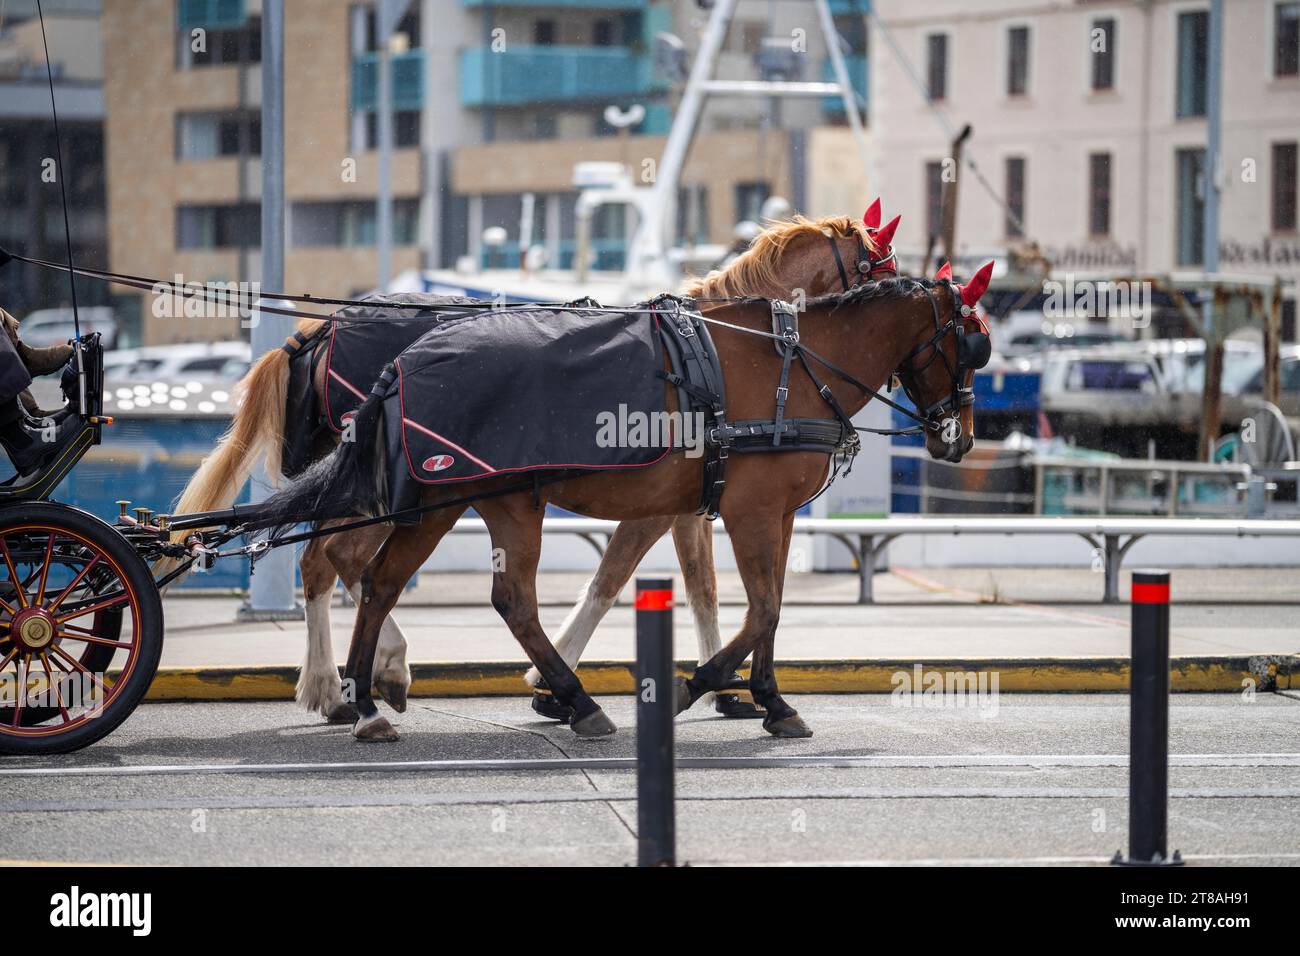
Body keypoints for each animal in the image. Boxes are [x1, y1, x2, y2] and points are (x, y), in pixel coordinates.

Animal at [163, 208, 904, 725]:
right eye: (883, 268)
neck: (719, 347)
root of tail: (323, 331)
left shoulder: (687, 502)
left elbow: (700, 588)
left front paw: (723, 687)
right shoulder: (662, 503)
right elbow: (615, 578)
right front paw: (558, 684)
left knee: (340, 563)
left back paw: (356, 679)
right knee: (335, 562)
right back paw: (348, 681)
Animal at [253, 266, 995, 742]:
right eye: (972, 347)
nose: (961, 438)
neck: (793, 362)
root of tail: (402, 362)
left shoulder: (770, 513)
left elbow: (768, 608)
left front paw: (770, 700)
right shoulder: (748, 511)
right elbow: (761, 609)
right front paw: (697, 686)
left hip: (460, 502)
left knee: (383, 581)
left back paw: (366, 697)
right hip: (482, 502)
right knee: (486, 595)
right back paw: (563, 699)